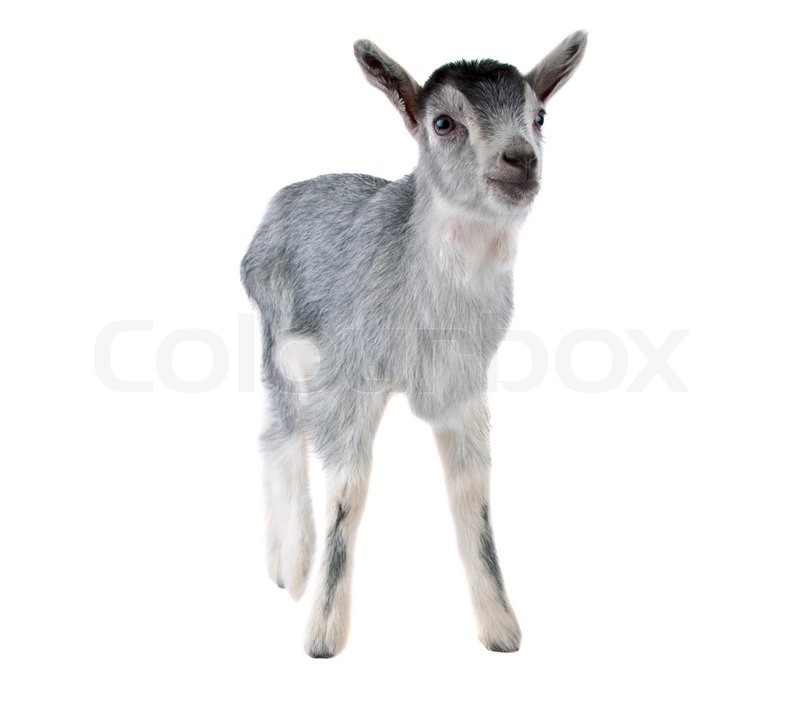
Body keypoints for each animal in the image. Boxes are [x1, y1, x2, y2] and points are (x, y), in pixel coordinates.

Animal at [241, 31, 588, 657]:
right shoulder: (349, 379)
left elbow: (473, 496)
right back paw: (293, 566)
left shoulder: (462, 385)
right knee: (280, 433)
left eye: (540, 116)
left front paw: (500, 629)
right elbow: (347, 496)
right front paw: (323, 634)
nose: (520, 160)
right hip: (277, 337)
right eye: (443, 122)